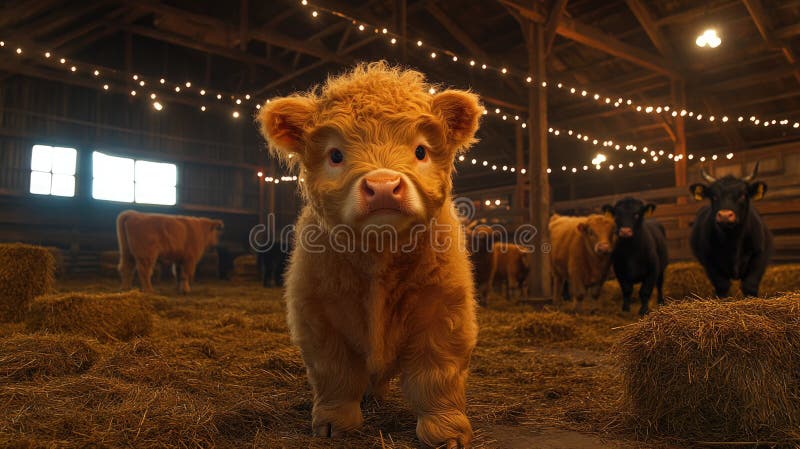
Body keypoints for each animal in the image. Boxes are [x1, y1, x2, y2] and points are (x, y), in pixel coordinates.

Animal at [257, 62, 481, 448]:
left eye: (420, 151)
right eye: (335, 155)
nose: (383, 187)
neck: (379, 258)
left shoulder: (444, 312)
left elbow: (435, 377)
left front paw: (445, 432)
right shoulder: (318, 316)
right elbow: (336, 375)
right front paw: (333, 424)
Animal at [689, 163, 772, 297]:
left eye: (743, 195)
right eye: (714, 196)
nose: (725, 215)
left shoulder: (760, 255)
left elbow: (750, 285)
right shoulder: (709, 260)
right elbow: (722, 285)